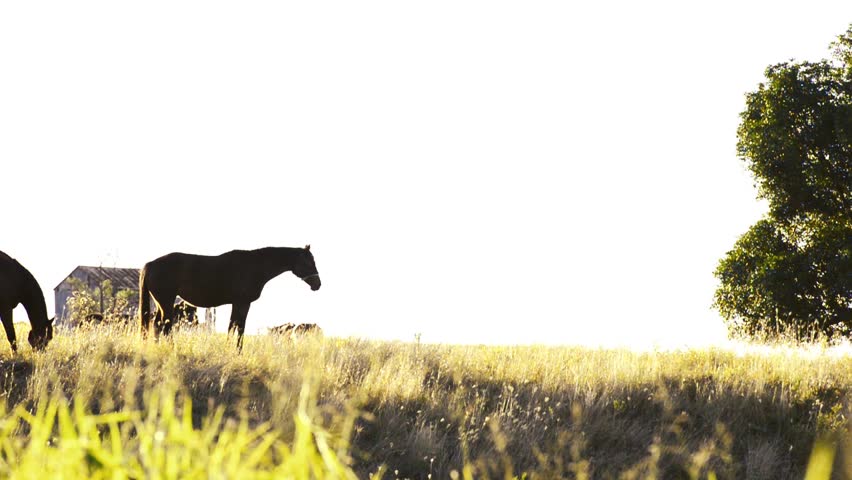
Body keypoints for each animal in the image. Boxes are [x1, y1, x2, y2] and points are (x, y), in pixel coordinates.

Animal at [139, 245, 321, 349]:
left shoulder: (237, 304)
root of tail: (150, 264)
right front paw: (237, 351)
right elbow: (239, 328)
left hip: (163, 302)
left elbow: (232, 326)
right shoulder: (242, 303)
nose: (317, 284)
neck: (254, 266)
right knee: (165, 326)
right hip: (166, 301)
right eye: (308, 262)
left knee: (157, 325)